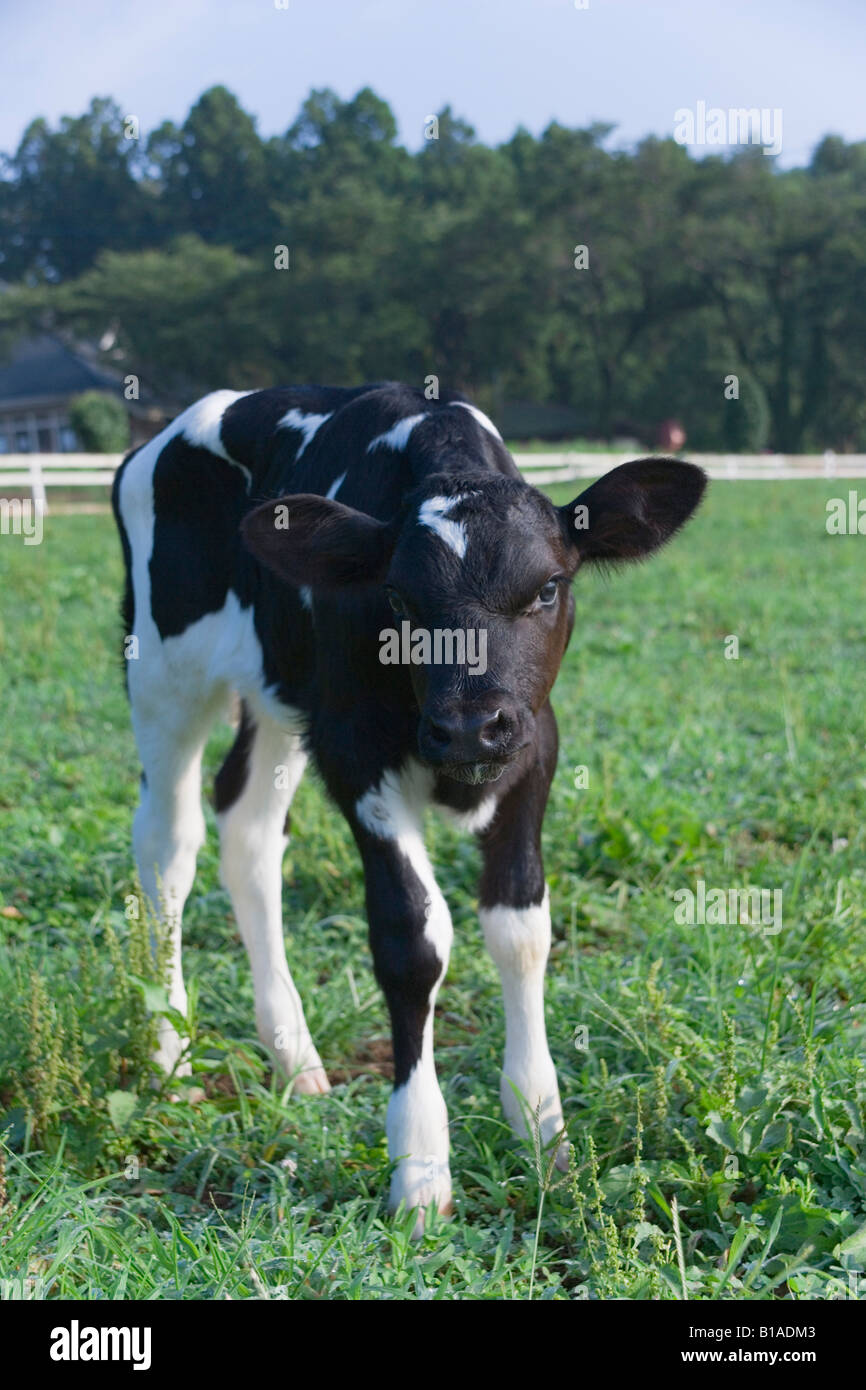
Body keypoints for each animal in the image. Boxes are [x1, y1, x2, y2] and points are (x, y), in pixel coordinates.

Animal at [112, 381, 705, 1231]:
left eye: (549, 588)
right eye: (397, 596)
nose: (469, 724)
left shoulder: (534, 747)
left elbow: (521, 928)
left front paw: (540, 1128)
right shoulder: (358, 752)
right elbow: (413, 940)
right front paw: (420, 1169)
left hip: (281, 694)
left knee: (248, 832)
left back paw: (293, 1055)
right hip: (162, 675)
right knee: (167, 851)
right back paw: (169, 1055)